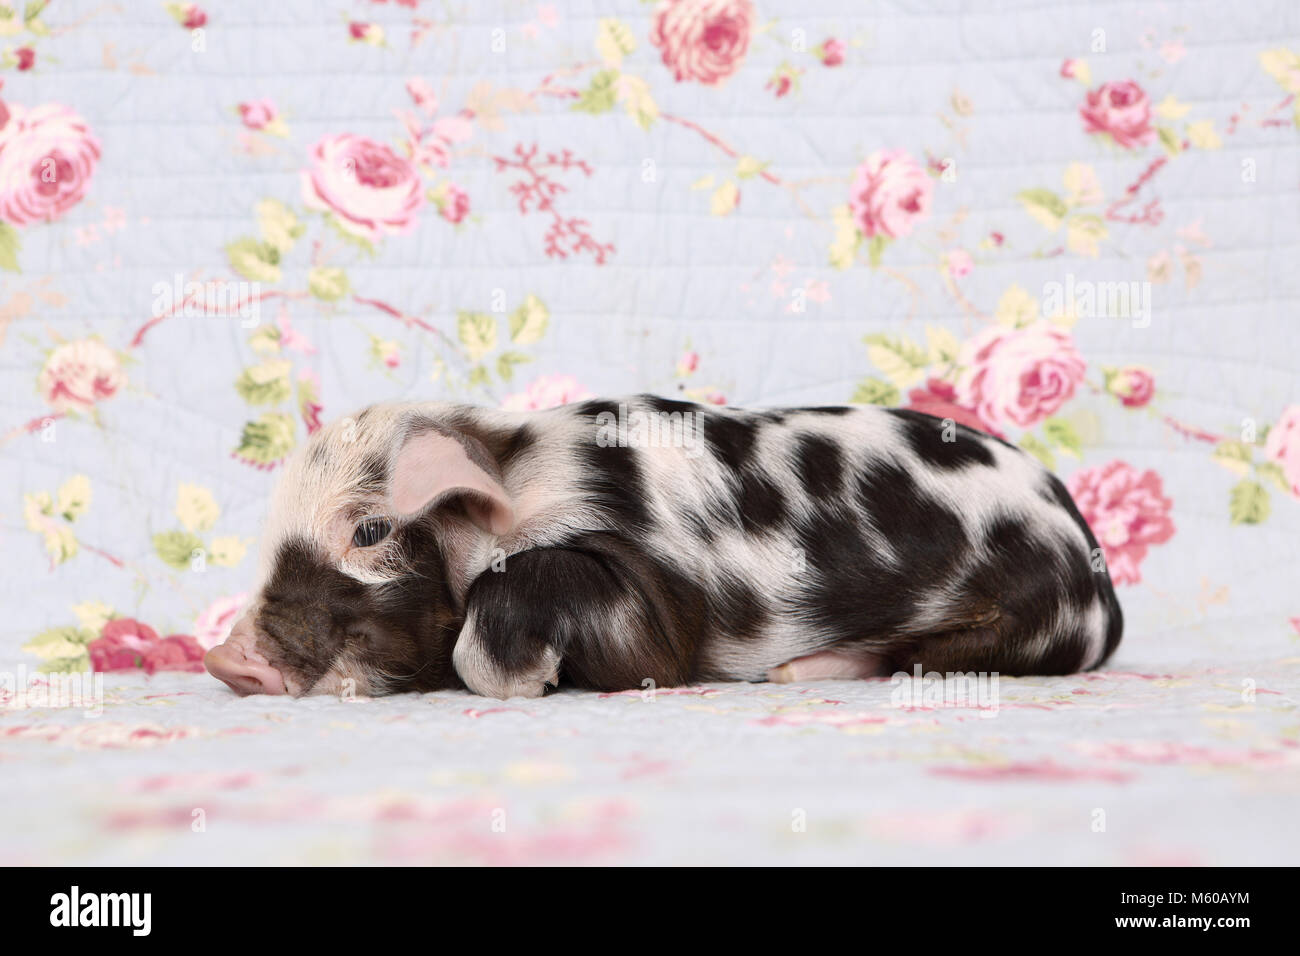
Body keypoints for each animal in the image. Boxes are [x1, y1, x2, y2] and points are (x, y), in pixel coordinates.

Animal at [204, 396, 1122, 699]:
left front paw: (529, 684)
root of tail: (1102, 587)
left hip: (1015, 629)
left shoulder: (654, 611)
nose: (223, 659)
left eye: (369, 529)